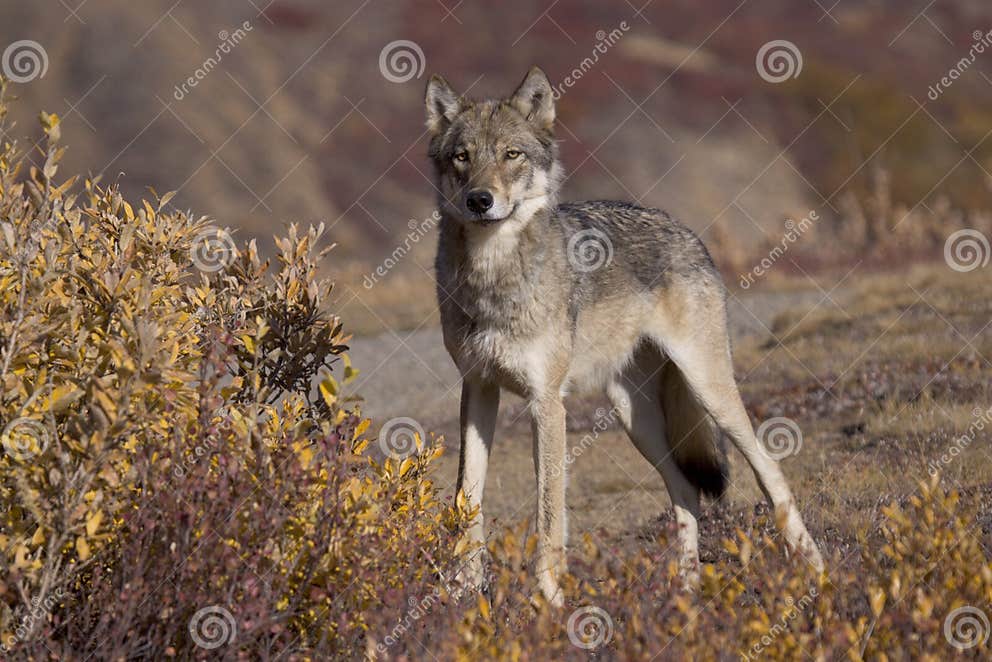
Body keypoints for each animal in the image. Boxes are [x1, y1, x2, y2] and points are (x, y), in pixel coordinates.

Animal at [426, 66, 824, 606]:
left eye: (512, 154)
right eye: (462, 156)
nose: (480, 200)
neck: (493, 276)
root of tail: (686, 230)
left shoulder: (546, 402)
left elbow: (548, 515)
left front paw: (549, 604)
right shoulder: (478, 388)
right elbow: (466, 498)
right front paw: (462, 597)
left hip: (708, 390)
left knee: (768, 467)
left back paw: (815, 569)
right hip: (634, 417)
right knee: (686, 490)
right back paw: (685, 592)